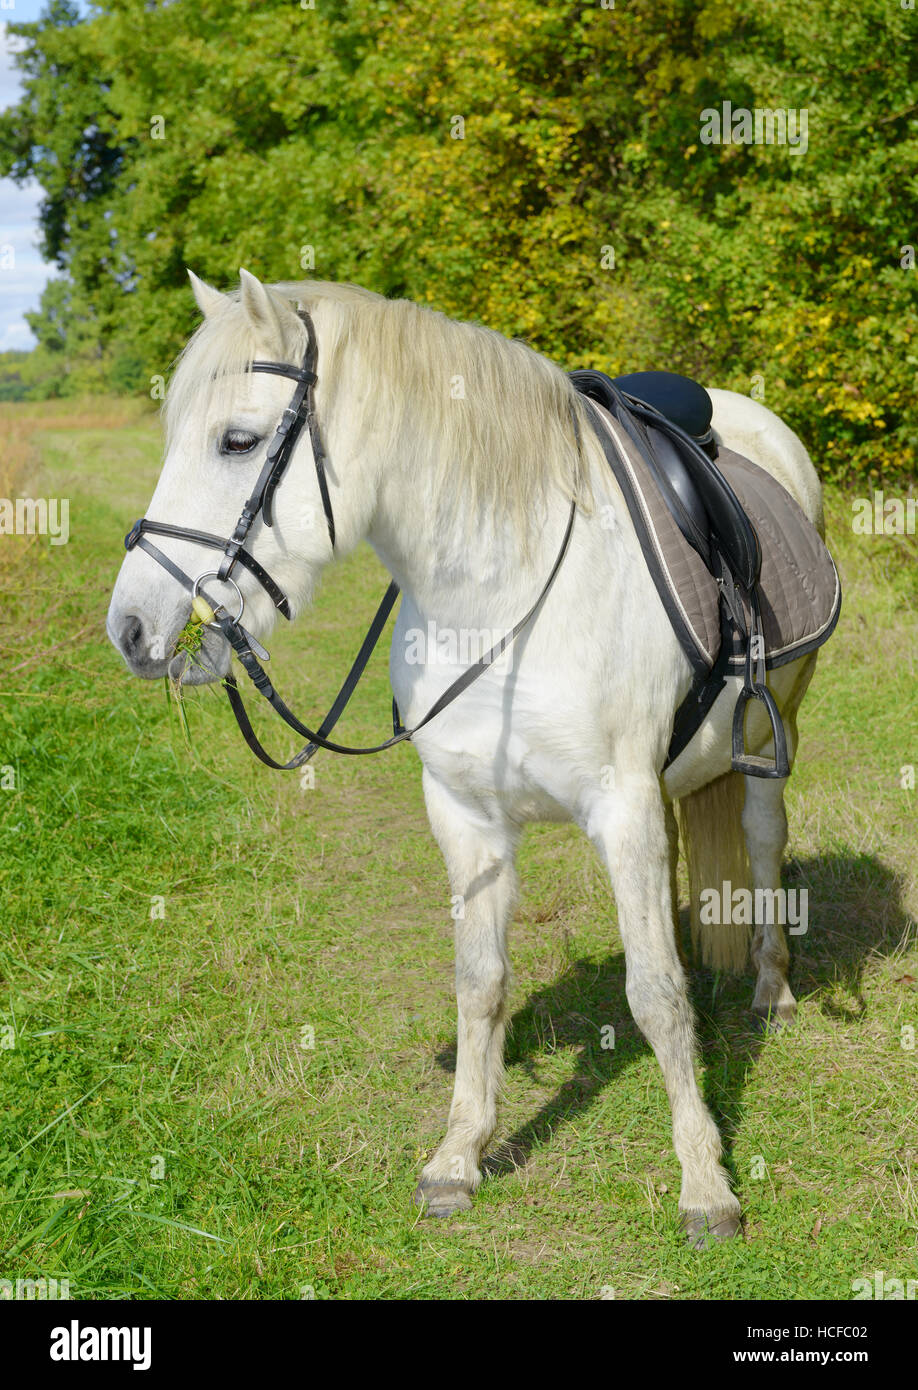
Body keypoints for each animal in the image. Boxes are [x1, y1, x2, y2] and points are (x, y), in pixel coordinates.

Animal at [108, 269, 828, 1246]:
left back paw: (771, 989)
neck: (502, 592)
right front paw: (458, 1158)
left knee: (761, 844)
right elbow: (481, 982)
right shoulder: (465, 815)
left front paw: (705, 1185)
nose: (131, 626)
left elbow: (654, 994)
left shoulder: (623, 807)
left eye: (238, 441)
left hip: (767, 739)